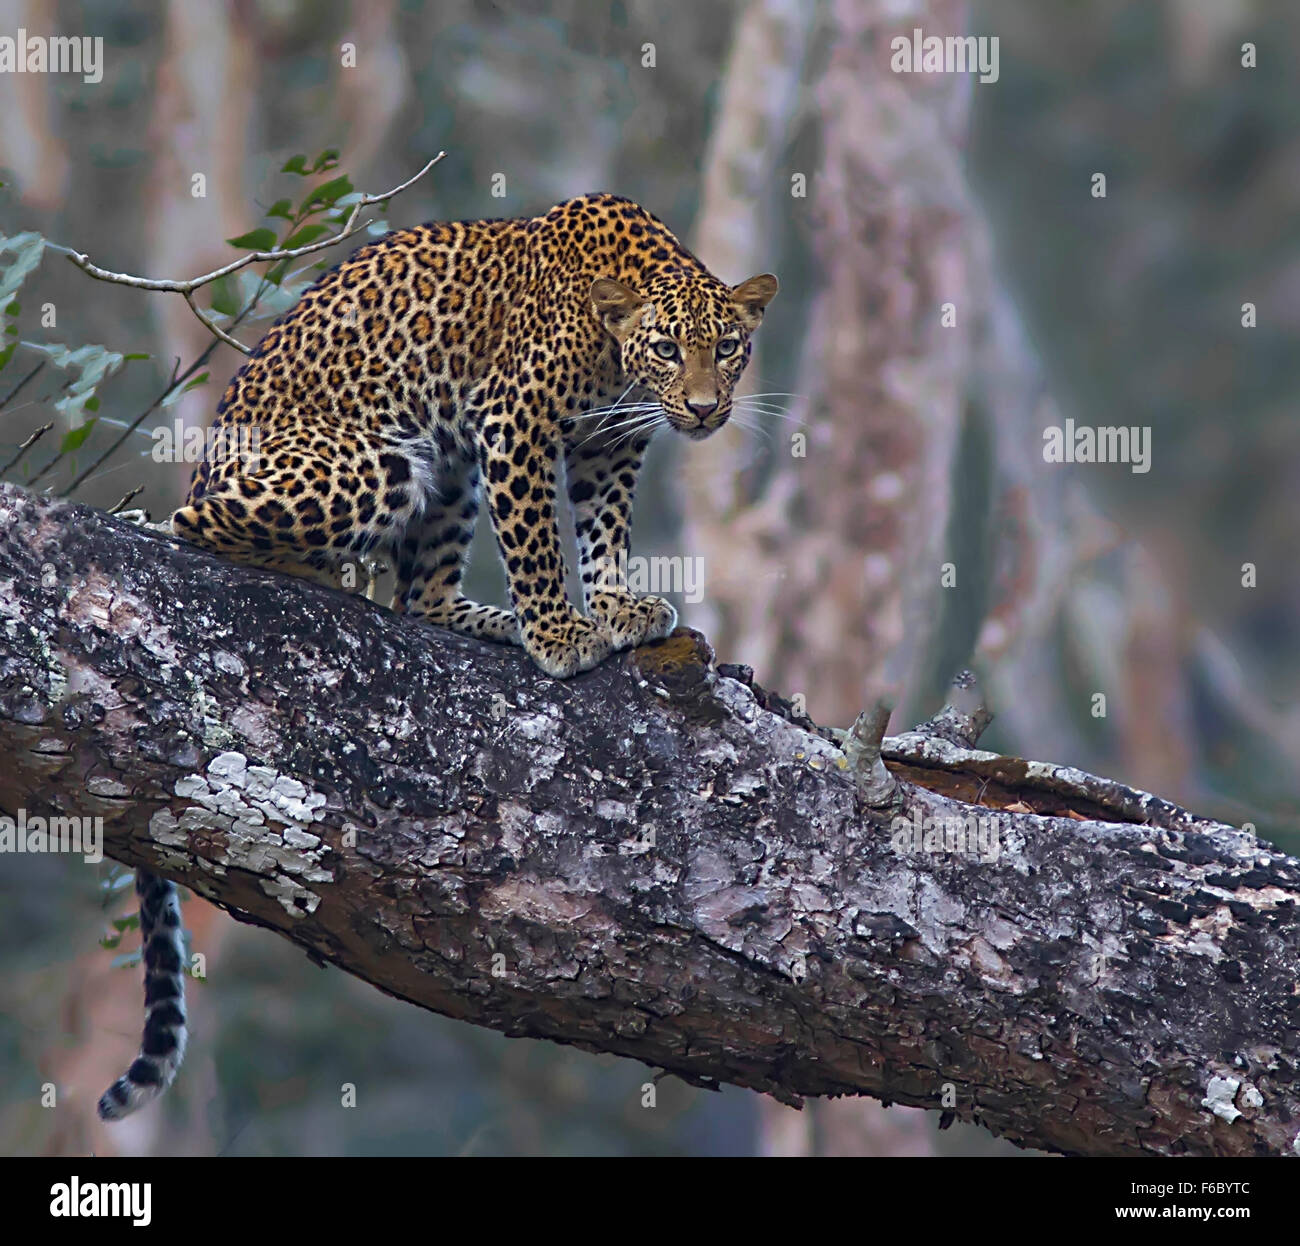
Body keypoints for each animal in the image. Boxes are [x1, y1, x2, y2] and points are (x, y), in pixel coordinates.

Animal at [98, 191, 775, 1119]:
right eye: (669, 348)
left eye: (730, 347)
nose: (706, 409)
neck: (617, 348)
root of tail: (200, 471)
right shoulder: (516, 422)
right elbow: (537, 542)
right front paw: (560, 635)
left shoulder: (611, 446)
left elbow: (604, 533)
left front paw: (615, 606)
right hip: (378, 459)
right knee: (200, 530)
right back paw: (336, 580)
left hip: (443, 471)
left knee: (418, 597)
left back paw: (478, 618)